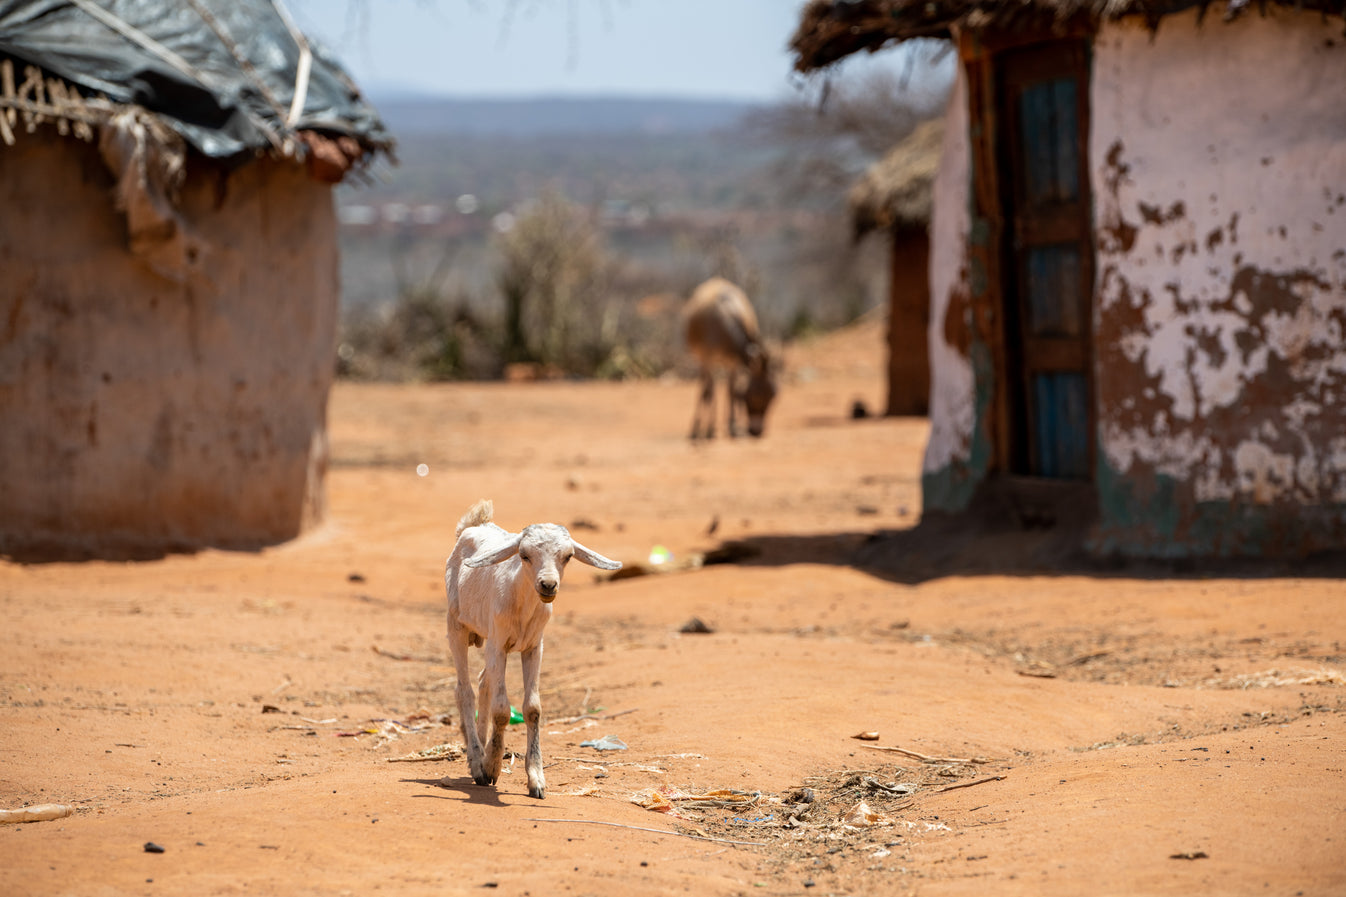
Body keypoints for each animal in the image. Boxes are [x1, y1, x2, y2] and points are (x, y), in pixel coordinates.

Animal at [444, 499, 621, 798]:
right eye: (524, 555)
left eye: (568, 556)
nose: (548, 585)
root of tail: (473, 525)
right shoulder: (498, 643)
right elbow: (502, 709)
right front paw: (491, 767)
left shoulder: (534, 646)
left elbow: (533, 708)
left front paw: (536, 778)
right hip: (456, 625)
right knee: (464, 690)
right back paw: (476, 761)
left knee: (483, 682)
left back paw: (481, 745)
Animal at [683, 277, 778, 439]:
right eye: (753, 396)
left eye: (772, 397)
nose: (756, 432)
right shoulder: (709, 359)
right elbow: (711, 391)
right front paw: (709, 430)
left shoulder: (733, 363)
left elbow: (731, 391)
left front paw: (732, 427)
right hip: (703, 360)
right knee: (705, 388)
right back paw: (697, 430)